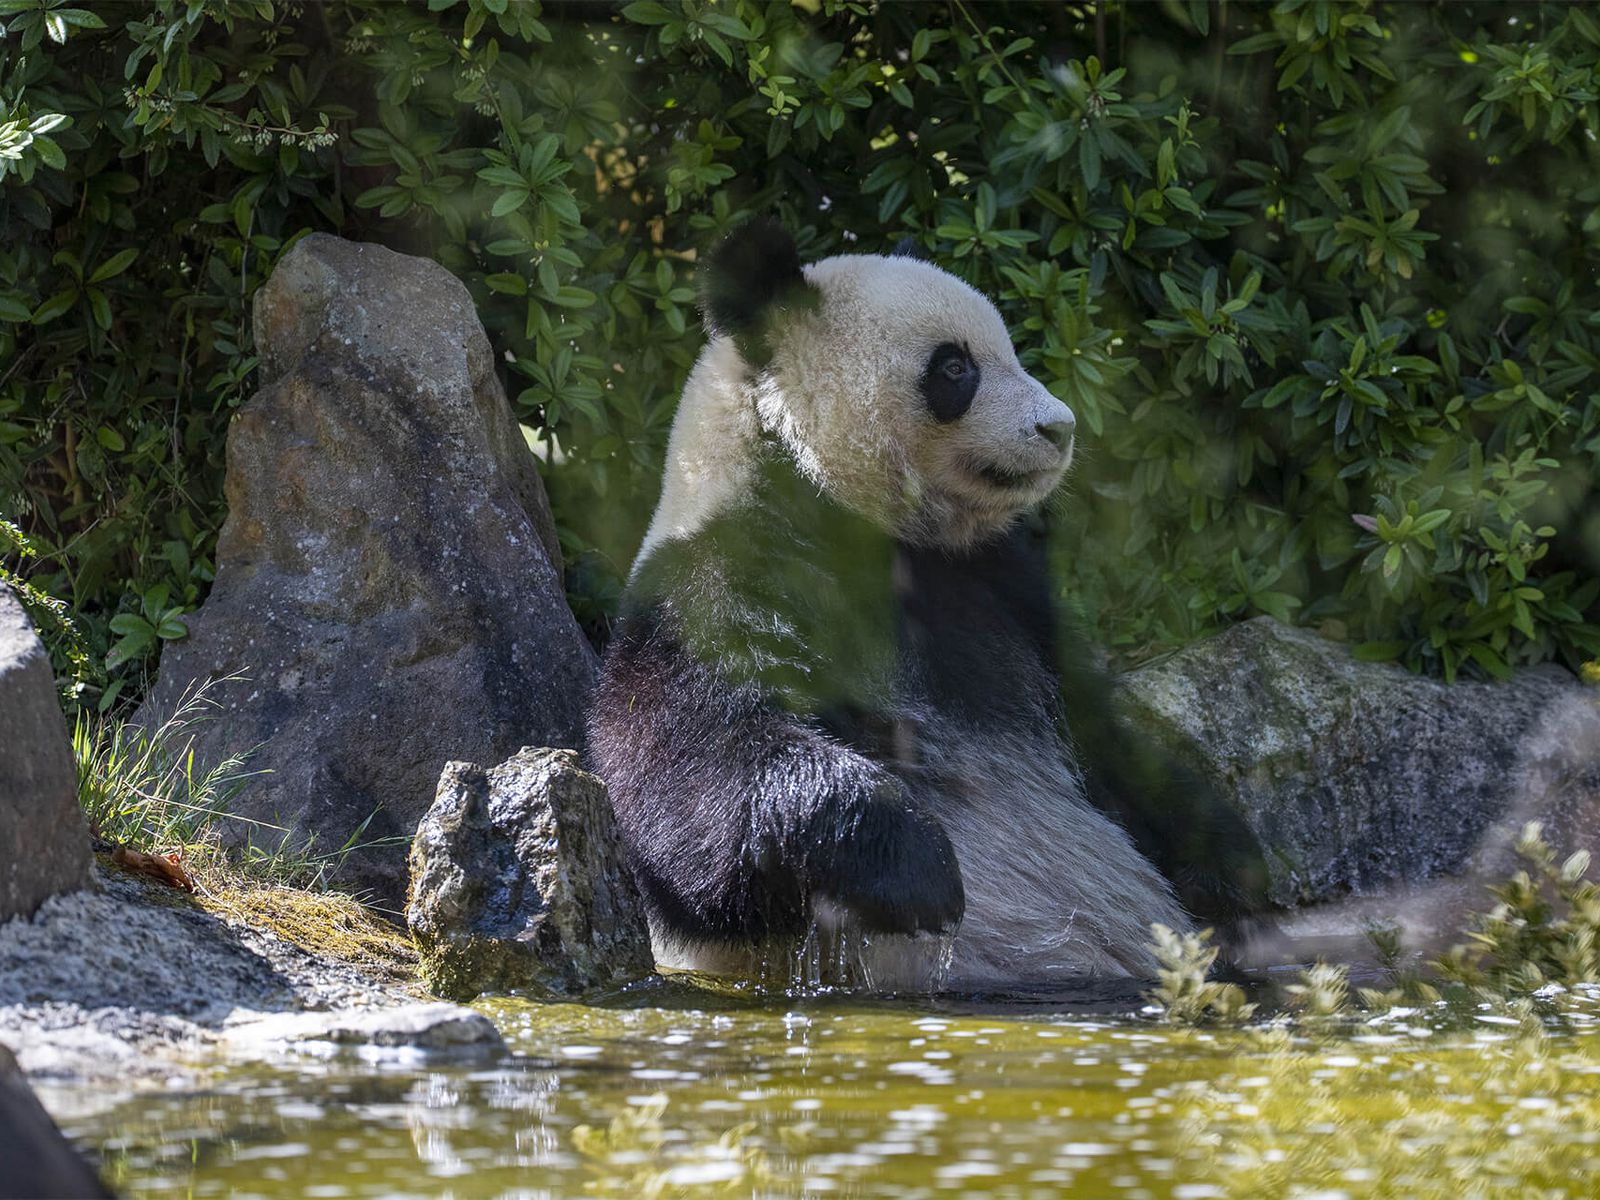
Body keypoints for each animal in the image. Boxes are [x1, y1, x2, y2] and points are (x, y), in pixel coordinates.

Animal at [588, 219, 1269, 989]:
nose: (1059, 428)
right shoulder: (718, 581)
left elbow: (1106, 739)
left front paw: (1230, 864)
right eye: (954, 368)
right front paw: (915, 868)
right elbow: (688, 773)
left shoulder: (1002, 591)